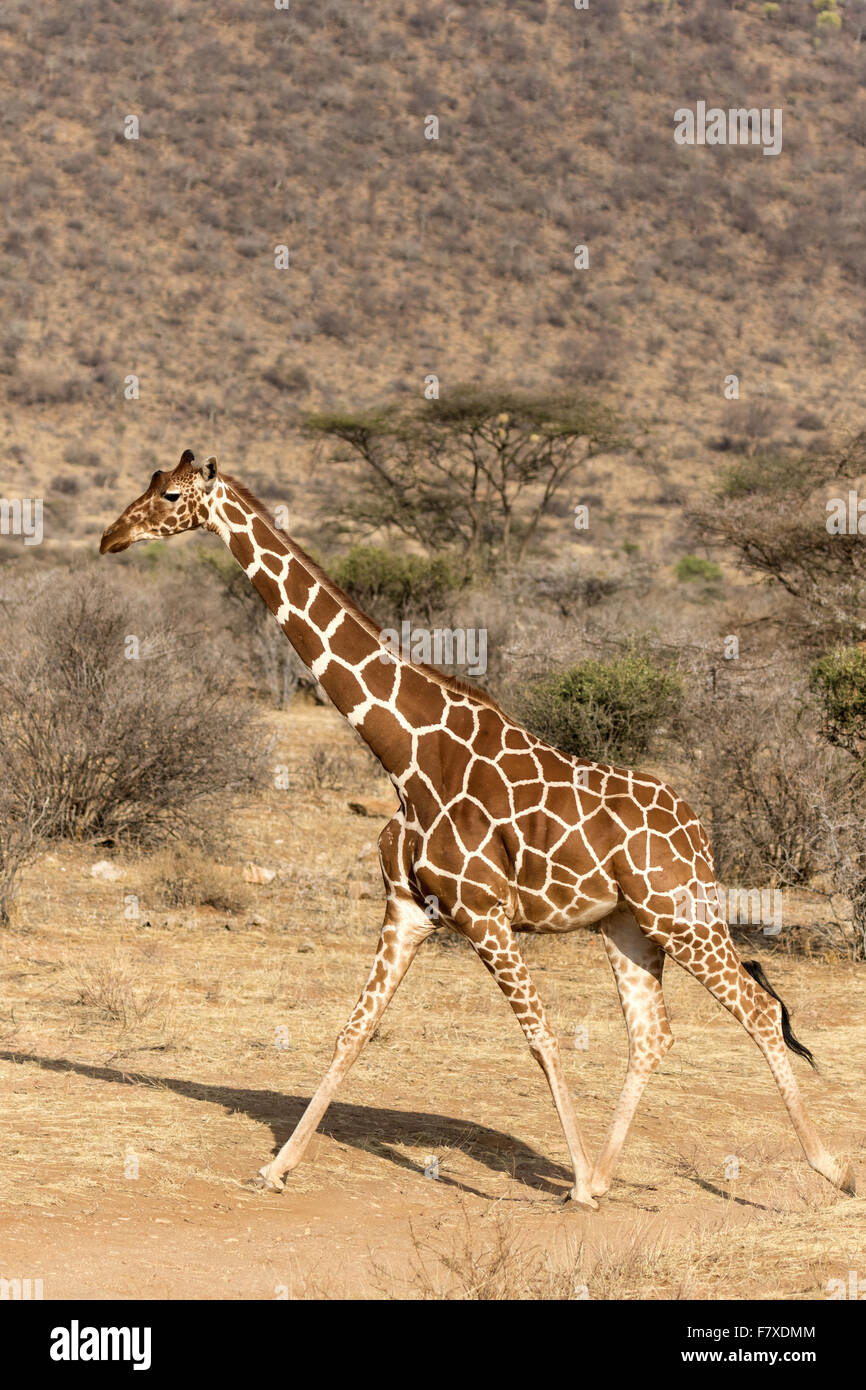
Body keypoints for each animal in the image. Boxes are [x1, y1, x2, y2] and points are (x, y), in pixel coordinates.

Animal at [100, 451, 855, 1208]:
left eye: (171, 496)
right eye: (146, 485)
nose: (110, 538)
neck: (406, 756)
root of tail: (698, 832)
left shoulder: (485, 913)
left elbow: (542, 1037)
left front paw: (576, 1183)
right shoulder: (407, 910)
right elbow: (354, 1030)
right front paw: (276, 1167)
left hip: (681, 912)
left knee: (758, 1010)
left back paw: (830, 1169)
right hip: (630, 925)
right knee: (652, 1035)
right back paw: (608, 1176)